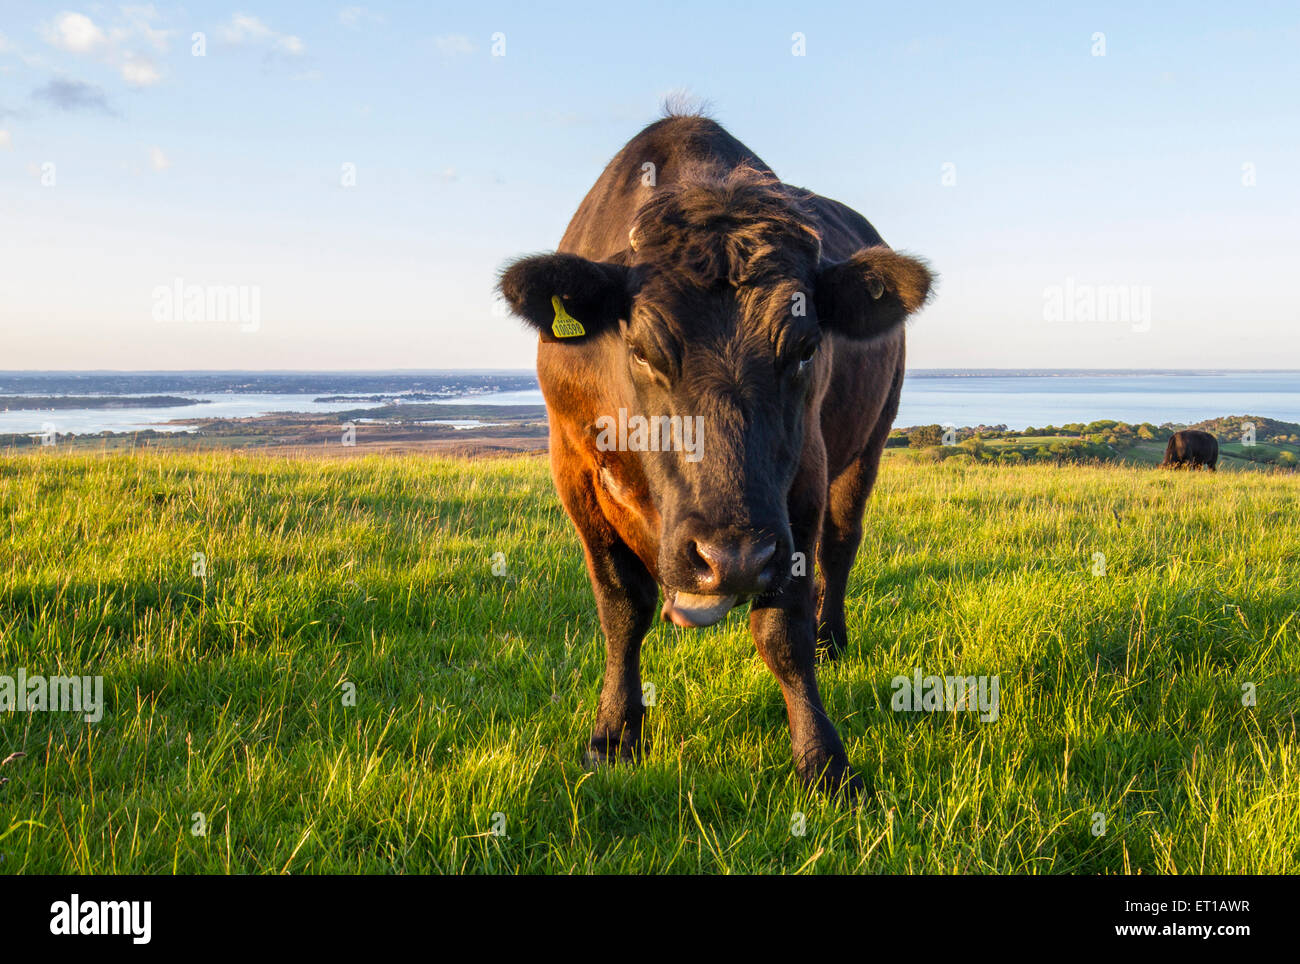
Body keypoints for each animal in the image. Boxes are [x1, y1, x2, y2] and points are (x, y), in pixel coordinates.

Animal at [498, 110, 934, 797]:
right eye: (642, 347)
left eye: (806, 346)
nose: (730, 559)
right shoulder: (573, 469)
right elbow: (622, 606)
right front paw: (613, 734)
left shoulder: (801, 484)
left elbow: (782, 629)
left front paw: (823, 760)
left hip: (872, 436)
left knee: (841, 543)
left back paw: (832, 639)